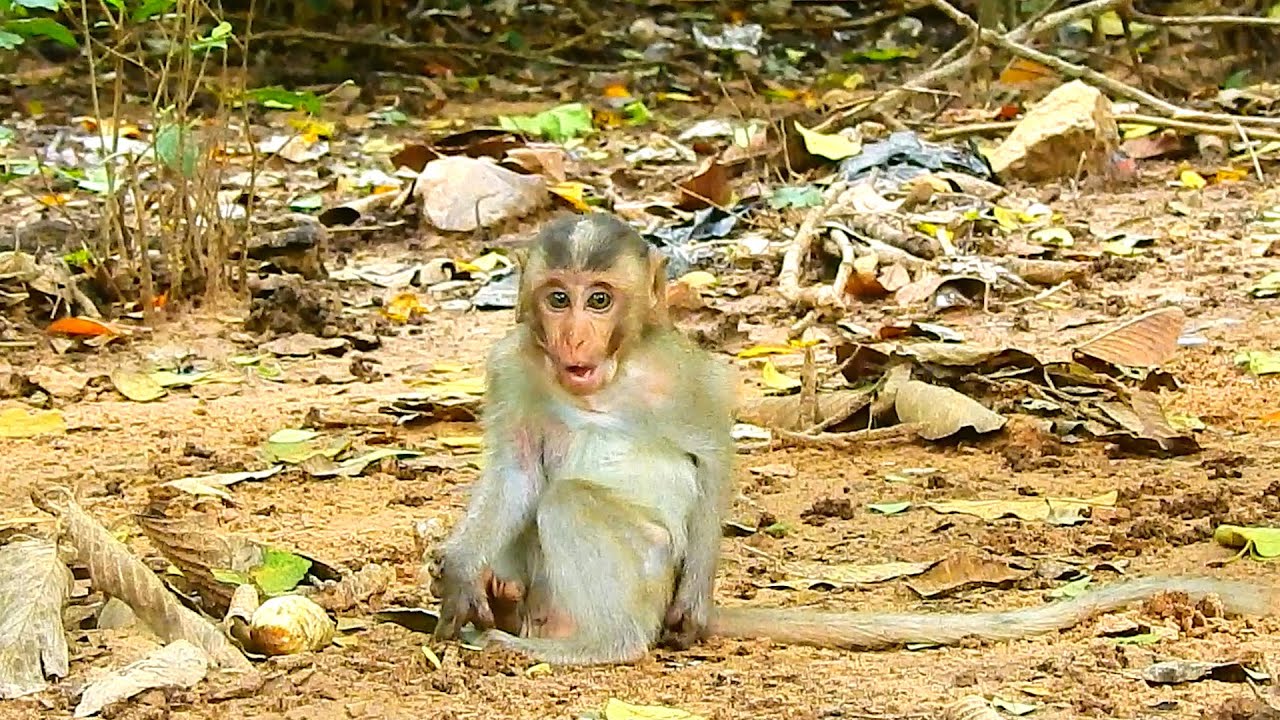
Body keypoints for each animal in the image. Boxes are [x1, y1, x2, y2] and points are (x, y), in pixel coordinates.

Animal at [430, 212, 1274, 666]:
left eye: (600, 300)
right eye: (558, 298)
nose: (574, 334)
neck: (601, 380)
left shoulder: (679, 371)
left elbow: (713, 449)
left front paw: (695, 600)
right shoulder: (512, 366)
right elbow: (514, 470)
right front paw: (462, 574)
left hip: (646, 577)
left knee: (572, 503)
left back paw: (600, 644)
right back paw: (508, 603)